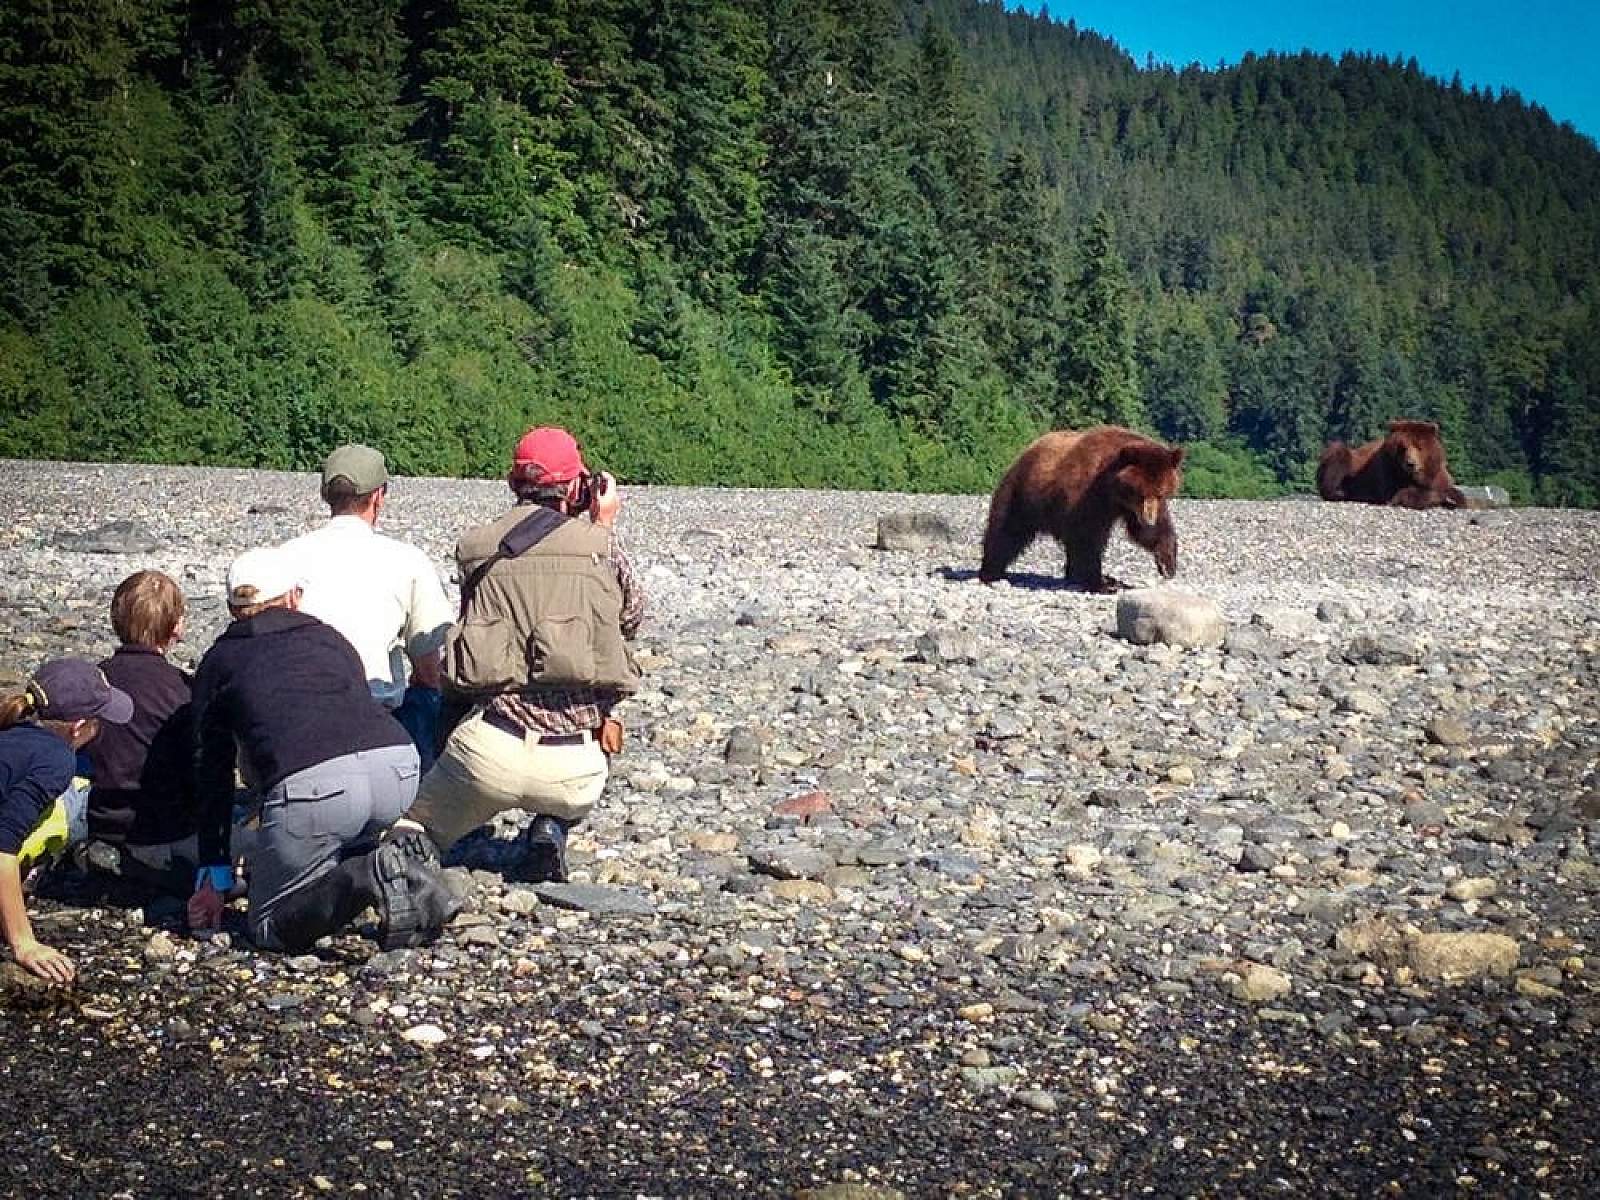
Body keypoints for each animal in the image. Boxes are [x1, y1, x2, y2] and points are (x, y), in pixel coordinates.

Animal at [979, 426, 1184, 592]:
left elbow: (1148, 531)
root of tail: (1024, 452)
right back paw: (991, 572)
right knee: (1006, 531)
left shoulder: (1128, 507)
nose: (1148, 519)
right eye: (1140, 493)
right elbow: (1087, 537)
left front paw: (1167, 564)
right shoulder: (1088, 495)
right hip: (1021, 493)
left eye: (1161, 493)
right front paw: (1100, 584)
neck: (1112, 489)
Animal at [1316, 419, 1466, 509]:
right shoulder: (1388, 474)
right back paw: (1339, 492)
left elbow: (1448, 488)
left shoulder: (1438, 475)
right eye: (1403, 447)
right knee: (1338, 453)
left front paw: (1454, 498)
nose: (1410, 463)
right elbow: (1403, 494)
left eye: (1418, 446)